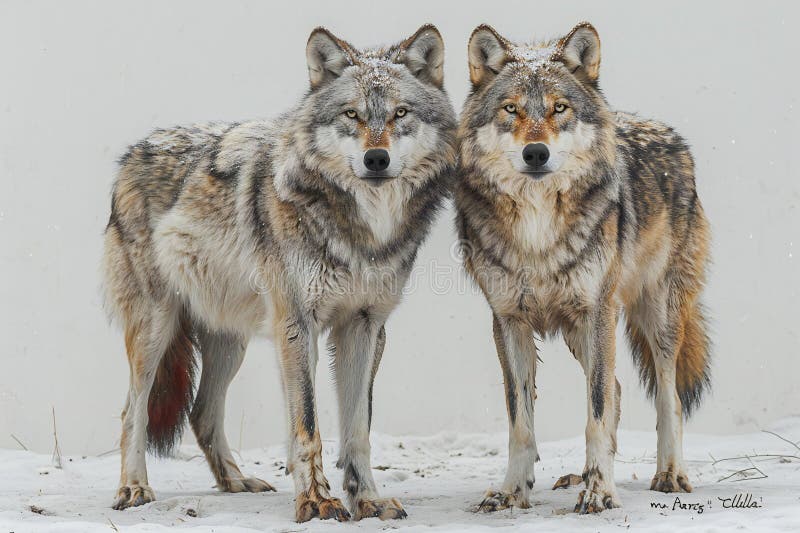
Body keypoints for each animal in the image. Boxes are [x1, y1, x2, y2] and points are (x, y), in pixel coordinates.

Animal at [102, 25, 456, 522]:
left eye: (400, 113)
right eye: (351, 114)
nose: (376, 160)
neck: (362, 233)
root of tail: (133, 154)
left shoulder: (365, 326)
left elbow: (358, 430)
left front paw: (367, 500)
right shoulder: (297, 325)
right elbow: (306, 426)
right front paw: (317, 501)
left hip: (230, 341)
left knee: (201, 412)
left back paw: (235, 481)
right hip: (157, 329)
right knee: (131, 412)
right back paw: (134, 488)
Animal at [455, 22, 711, 513]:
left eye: (560, 108)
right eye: (511, 108)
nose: (536, 153)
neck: (537, 228)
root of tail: (675, 139)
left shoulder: (598, 311)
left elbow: (594, 410)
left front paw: (600, 491)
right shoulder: (508, 320)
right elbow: (520, 421)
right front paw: (513, 491)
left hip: (656, 317)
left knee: (666, 397)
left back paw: (670, 473)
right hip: (581, 332)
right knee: (617, 388)